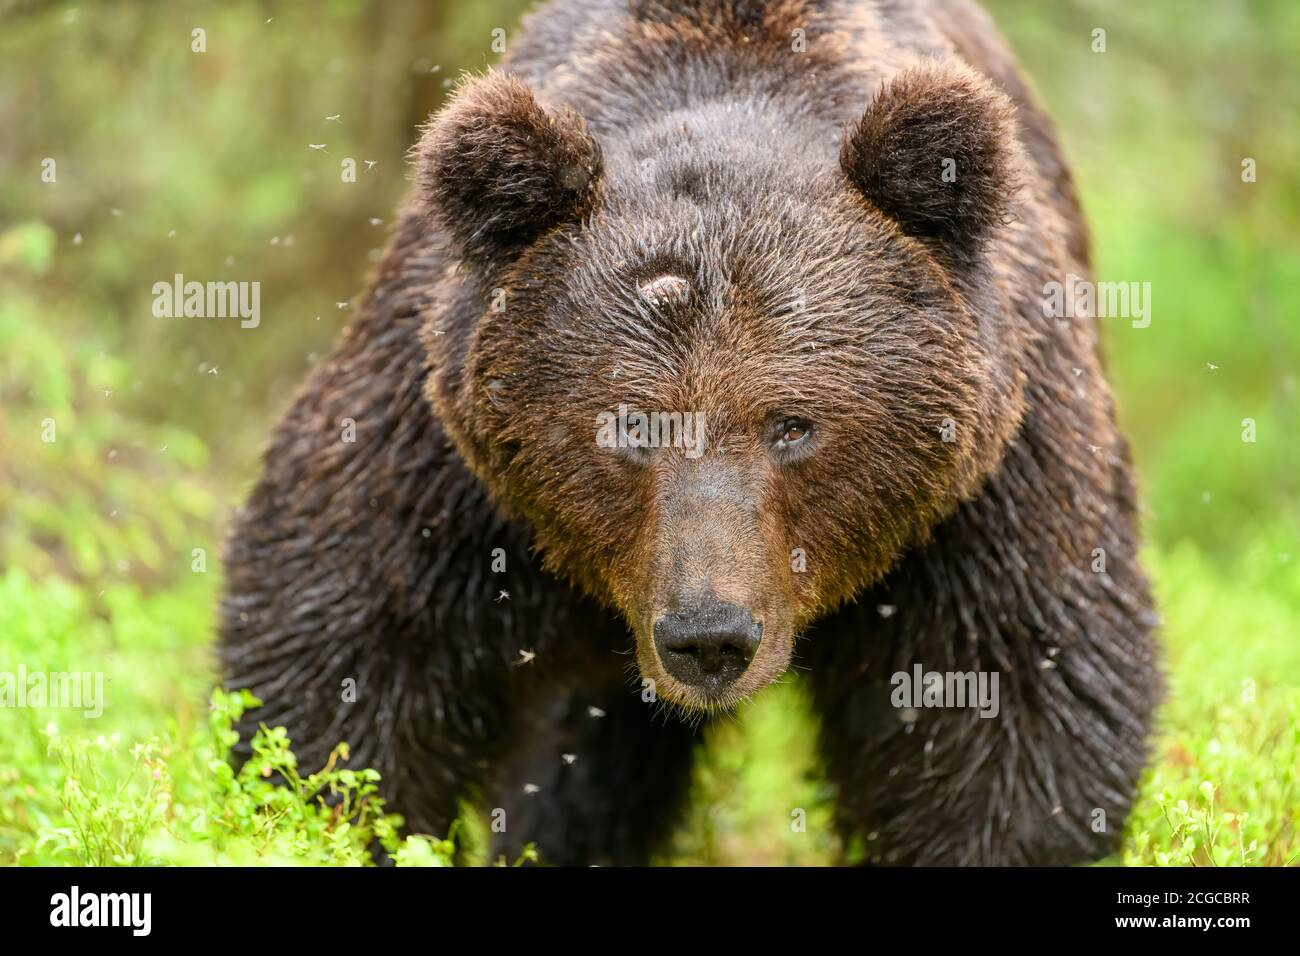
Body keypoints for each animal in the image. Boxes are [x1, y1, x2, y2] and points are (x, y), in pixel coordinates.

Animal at [220, 0, 1161, 866]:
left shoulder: (988, 480)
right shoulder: (444, 455)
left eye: (793, 424)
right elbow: (347, 655)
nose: (709, 635)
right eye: (631, 423)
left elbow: (1007, 703)